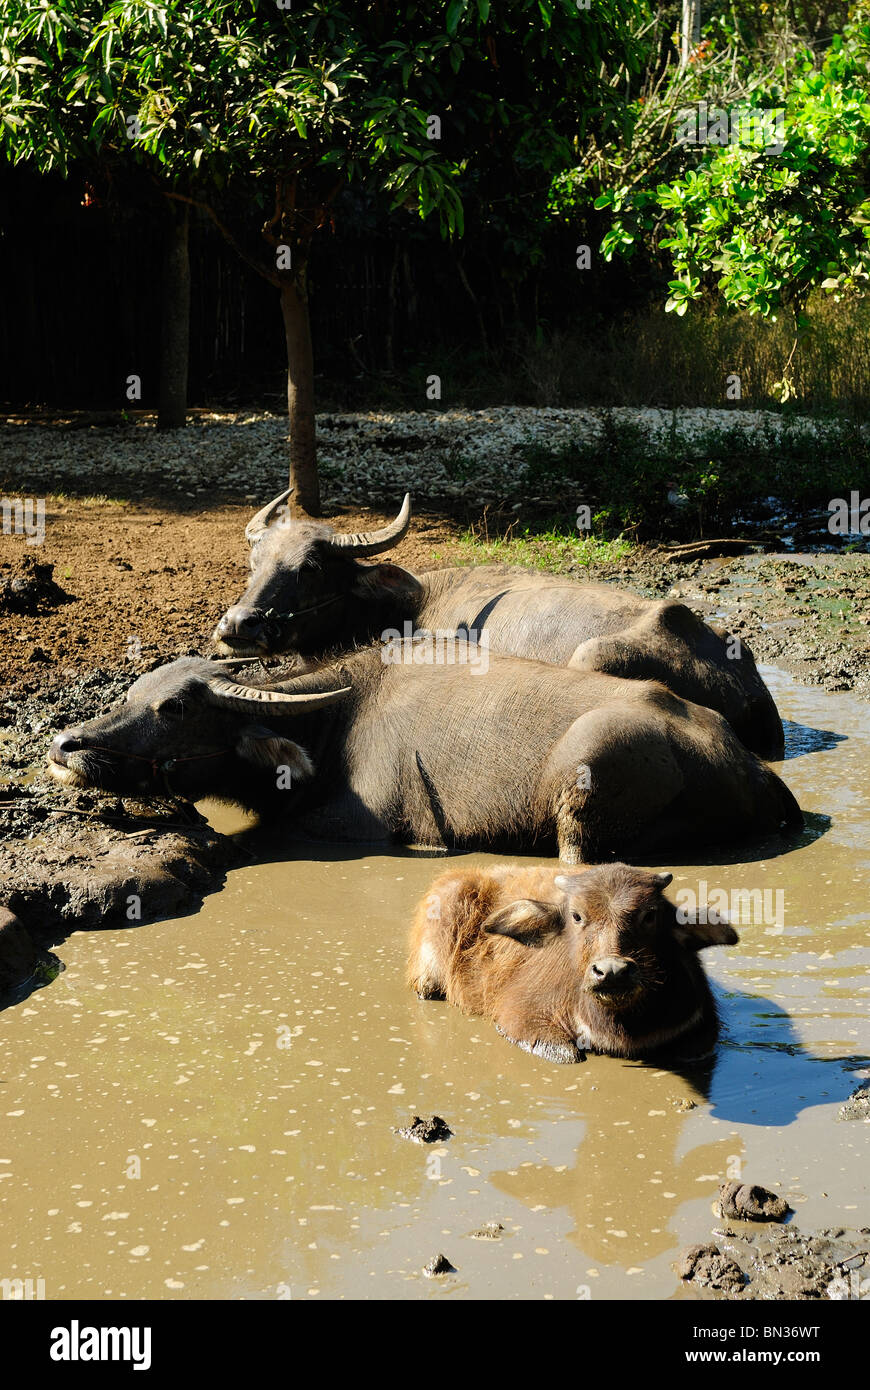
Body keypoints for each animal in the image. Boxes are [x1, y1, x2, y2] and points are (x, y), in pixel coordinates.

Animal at [46, 648, 801, 863]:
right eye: (135, 691)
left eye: (175, 708)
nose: (63, 745)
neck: (331, 729)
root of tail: (750, 768)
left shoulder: (358, 829)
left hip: (587, 776)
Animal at [211, 491, 784, 759]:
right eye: (254, 560)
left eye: (310, 567)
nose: (240, 624)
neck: (405, 609)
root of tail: (748, 684)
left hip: (593, 654)